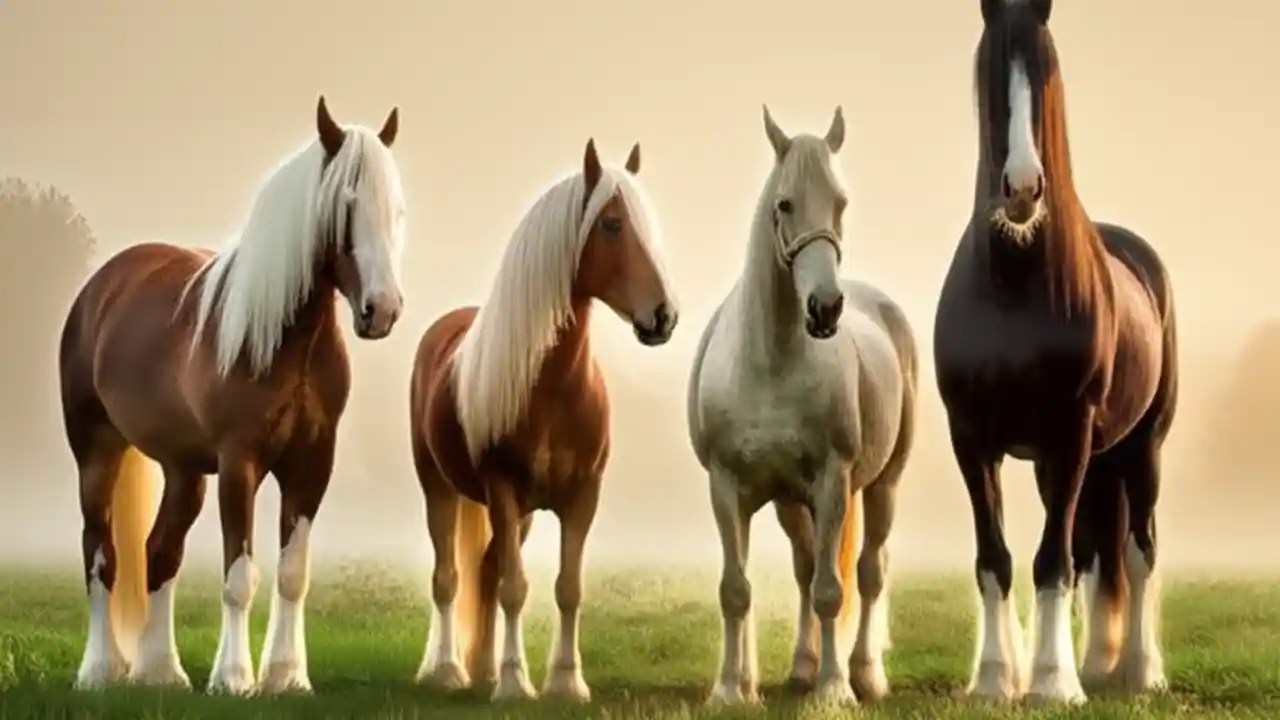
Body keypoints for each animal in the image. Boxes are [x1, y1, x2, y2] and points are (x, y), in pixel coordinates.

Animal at [59, 96, 407, 695]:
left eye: (397, 211)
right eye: (345, 204)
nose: (381, 310)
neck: (284, 339)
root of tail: (99, 287)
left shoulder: (312, 463)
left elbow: (293, 574)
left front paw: (287, 677)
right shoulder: (239, 462)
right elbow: (239, 577)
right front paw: (234, 678)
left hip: (183, 472)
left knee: (159, 553)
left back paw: (162, 672)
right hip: (97, 454)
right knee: (100, 553)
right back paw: (101, 670)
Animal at [408, 139, 677, 702]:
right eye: (612, 224)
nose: (664, 316)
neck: (554, 390)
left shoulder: (581, 497)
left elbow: (565, 588)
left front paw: (564, 682)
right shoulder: (504, 491)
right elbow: (515, 588)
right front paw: (516, 683)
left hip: (523, 513)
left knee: (486, 570)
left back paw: (484, 670)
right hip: (440, 489)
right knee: (449, 577)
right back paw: (449, 670)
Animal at [687, 106, 918, 706]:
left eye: (841, 202)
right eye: (784, 204)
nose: (825, 307)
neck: (772, 362)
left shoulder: (834, 481)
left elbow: (831, 590)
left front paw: (834, 691)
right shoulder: (727, 487)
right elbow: (736, 588)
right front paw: (731, 689)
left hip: (883, 485)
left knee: (869, 570)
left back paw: (863, 673)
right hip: (791, 503)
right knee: (804, 566)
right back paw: (801, 668)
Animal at [933, 0, 1178, 704]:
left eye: (1044, 70)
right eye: (993, 71)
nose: (1022, 188)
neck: (1016, 289)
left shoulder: (1070, 434)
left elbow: (1053, 560)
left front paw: (1051, 682)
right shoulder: (972, 439)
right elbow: (996, 559)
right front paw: (996, 678)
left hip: (1140, 447)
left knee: (1137, 549)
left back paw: (1140, 670)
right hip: (1068, 463)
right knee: (1095, 549)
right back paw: (1096, 662)